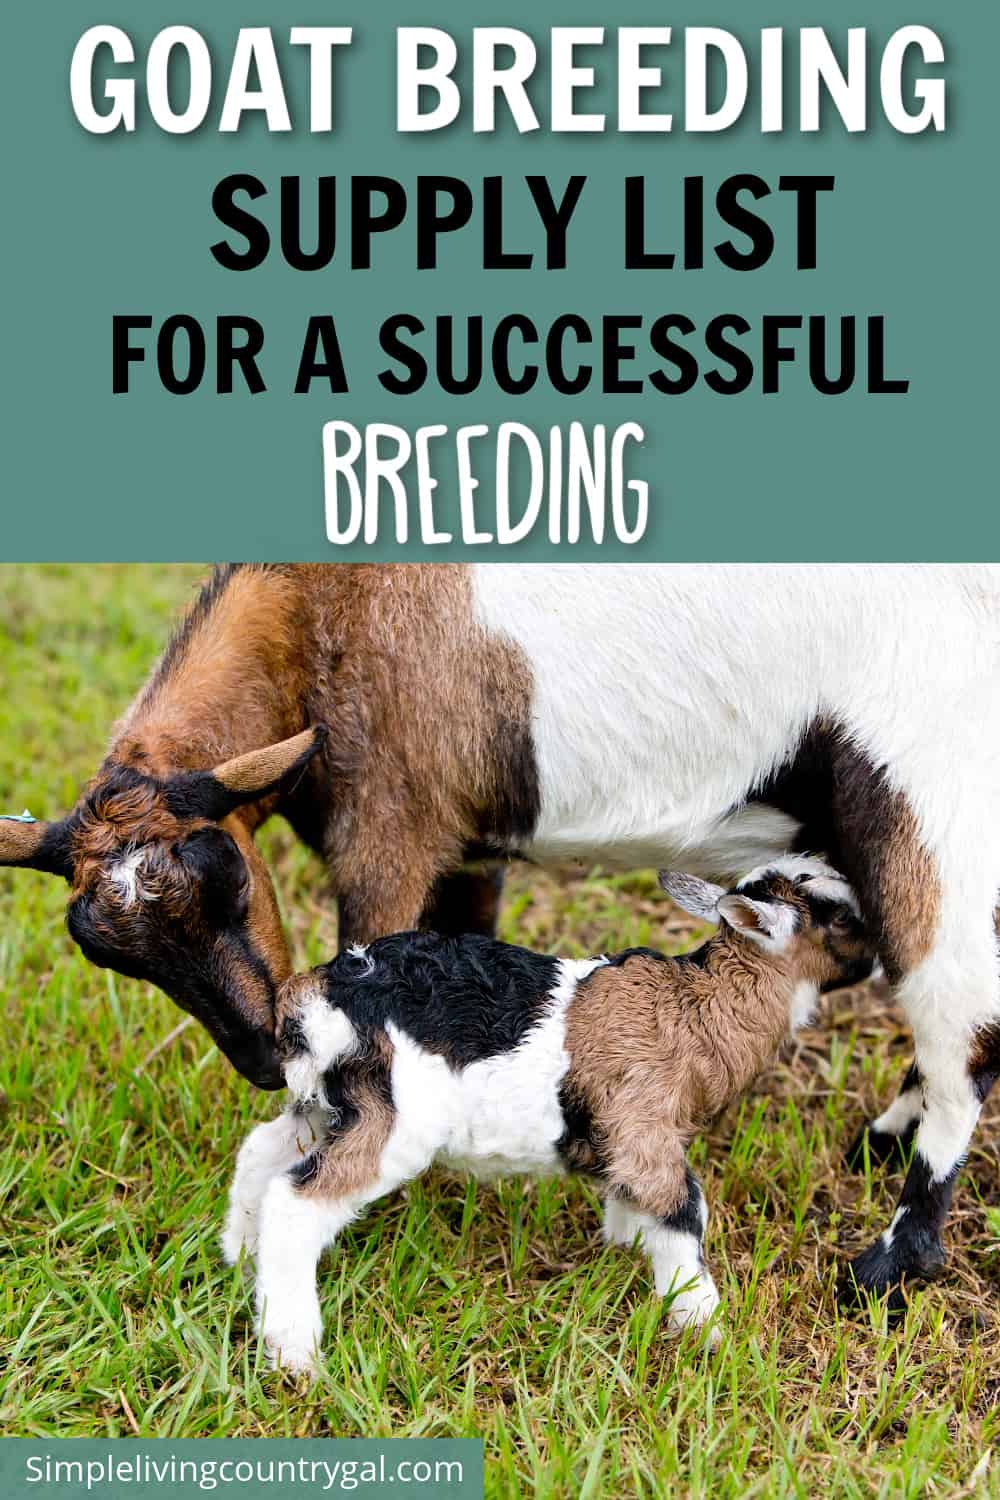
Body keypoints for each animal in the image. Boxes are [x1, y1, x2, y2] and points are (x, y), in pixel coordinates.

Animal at [2, 563, 999, 1305]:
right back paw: (882, 1138)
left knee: (963, 1040)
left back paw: (890, 1264)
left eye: (229, 879)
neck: (317, 615)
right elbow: (464, 946)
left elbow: (374, 951)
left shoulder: (392, 825)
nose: (259, 1053)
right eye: (108, 952)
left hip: (938, 813)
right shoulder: (469, 847)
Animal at [222, 856, 875, 1374]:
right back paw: (294, 1353)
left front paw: (624, 1248)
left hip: (327, 1106)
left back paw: (240, 1257)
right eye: (841, 917)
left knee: (260, 1154)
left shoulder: (625, 1144)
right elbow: (684, 1211)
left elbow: (637, 1203)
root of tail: (324, 997)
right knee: (298, 1202)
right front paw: (704, 1330)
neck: (699, 1002)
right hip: (394, 1123)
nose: (886, 954)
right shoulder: (645, 1131)